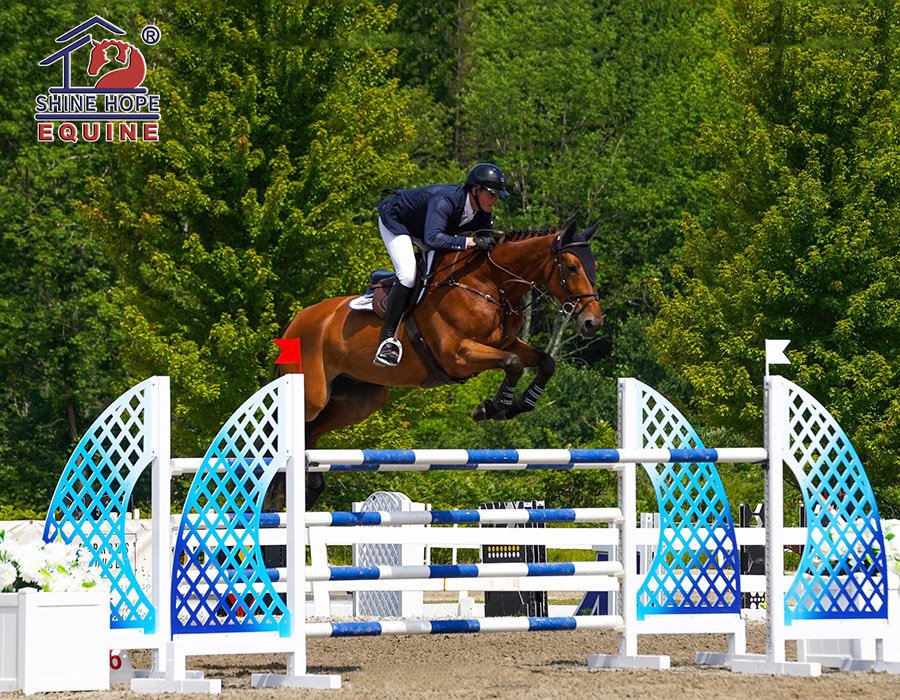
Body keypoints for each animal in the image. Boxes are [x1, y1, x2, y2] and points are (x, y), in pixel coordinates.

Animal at [277, 220, 603, 507]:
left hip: (360, 399)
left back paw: (307, 488)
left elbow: (545, 362)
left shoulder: (506, 344)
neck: (488, 284)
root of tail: (295, 323)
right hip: (313, 395)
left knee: (312, 431)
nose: (593, 323)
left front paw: (516, 405)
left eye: (594, 267)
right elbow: (512, 364)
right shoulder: (457, 356)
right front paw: (494, 407)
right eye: (572, 267)